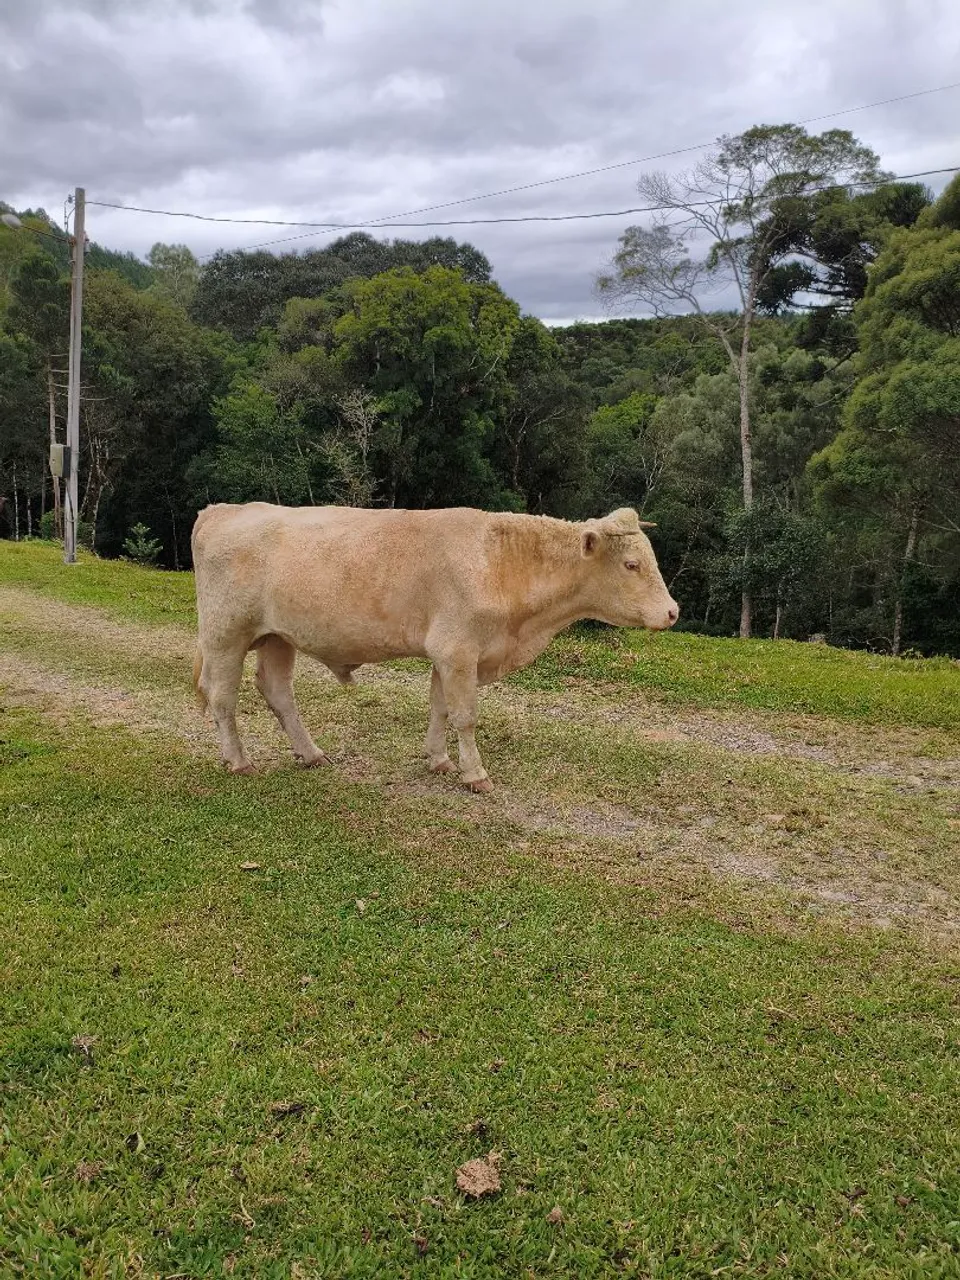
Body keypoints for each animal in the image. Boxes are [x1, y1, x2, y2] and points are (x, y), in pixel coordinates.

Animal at [191, 502, 679, 792]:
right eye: (631, 564)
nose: (673, 612)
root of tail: (225, 509)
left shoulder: (450, 656)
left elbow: (440, 707)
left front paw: (439, 759)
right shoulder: (458, 649)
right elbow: (465, 715)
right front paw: (474, 773)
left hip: (278, 637)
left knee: (278, 692)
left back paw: (310, 753)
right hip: (225, 635)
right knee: (222, 697)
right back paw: (239, 760)